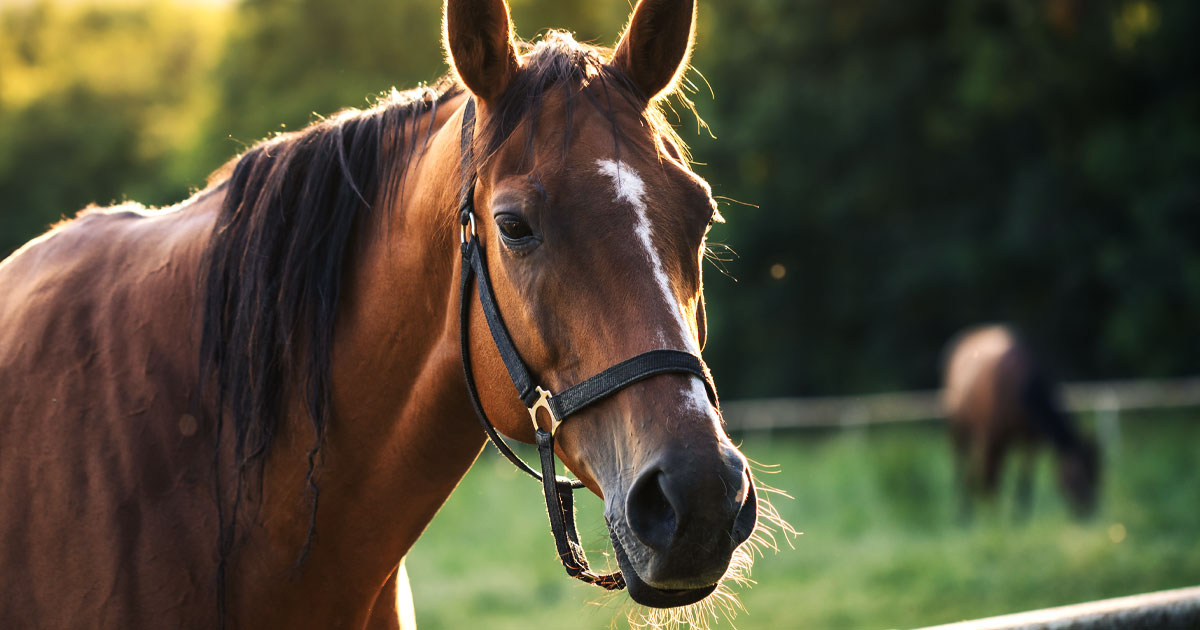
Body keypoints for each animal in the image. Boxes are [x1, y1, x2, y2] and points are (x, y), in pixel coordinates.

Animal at [941, 324, 1100, 520]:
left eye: (1097, 476)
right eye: (1079, 477)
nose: (1089, 513)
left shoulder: (1031, 441)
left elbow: (1025, 477)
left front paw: (1020, 515)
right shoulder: (994, 437)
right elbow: (992, 475)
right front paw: (993, 516)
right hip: (960, 429)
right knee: (962, 465)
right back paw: (963, 514)